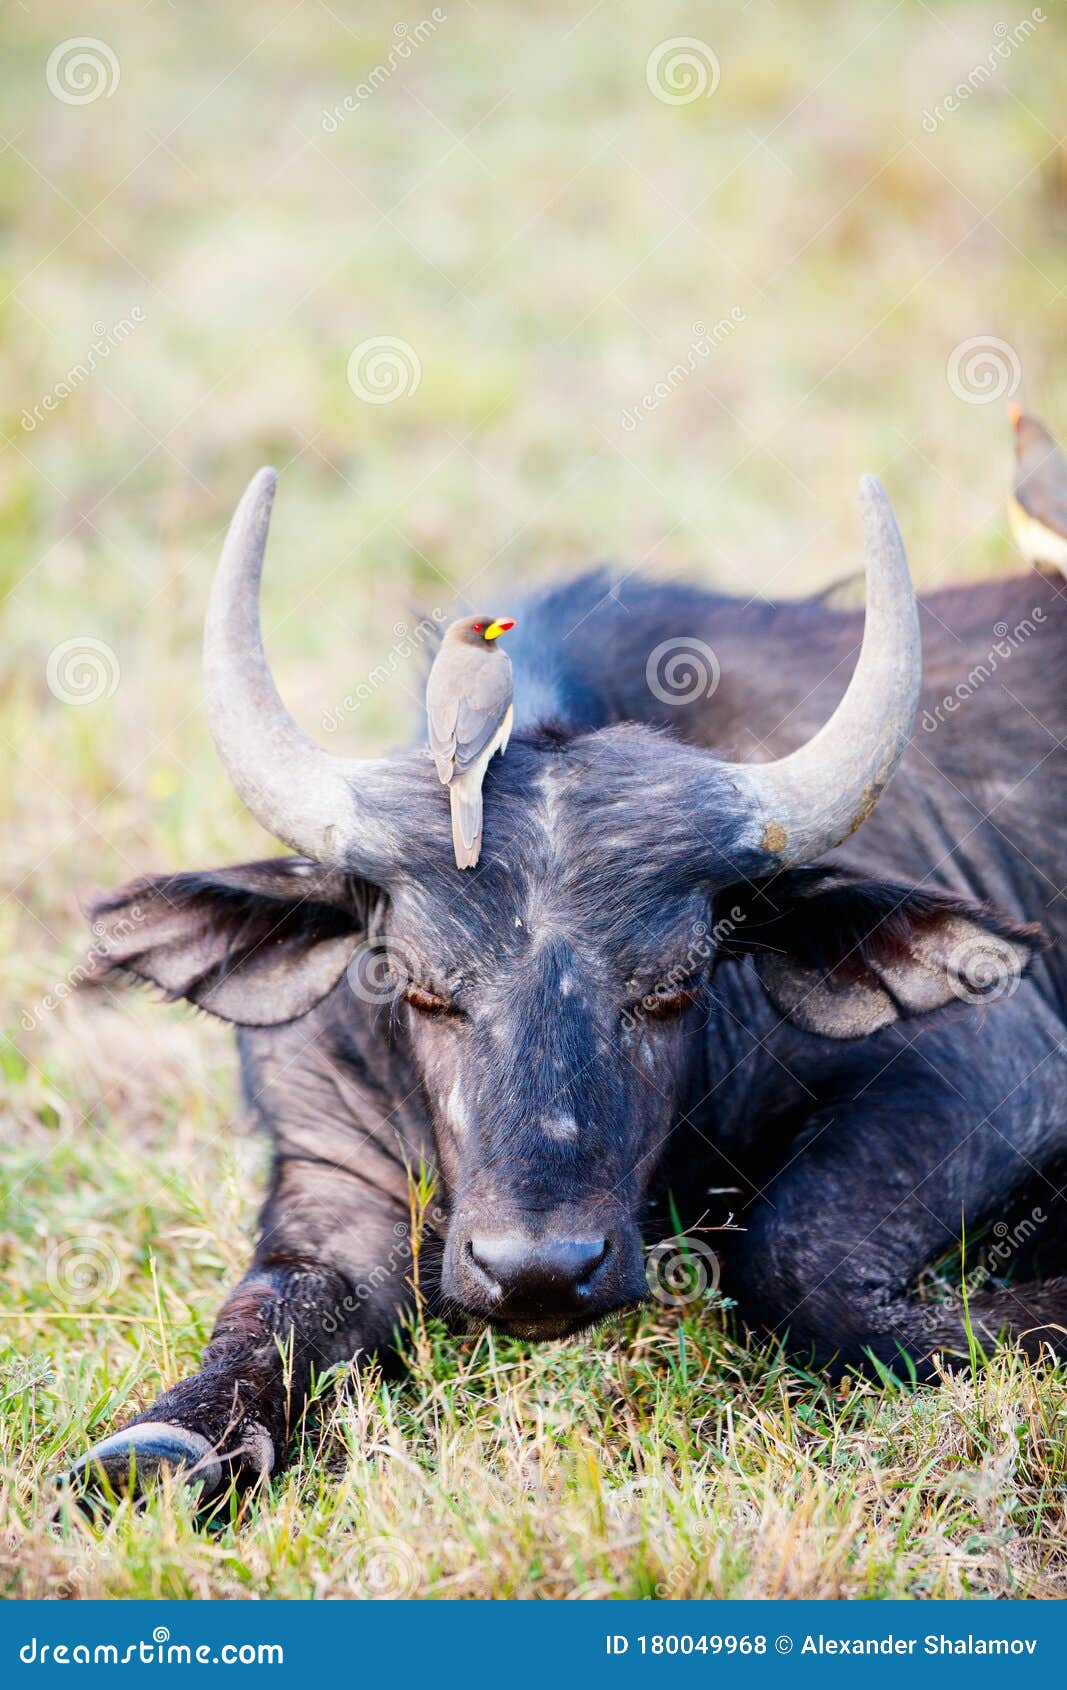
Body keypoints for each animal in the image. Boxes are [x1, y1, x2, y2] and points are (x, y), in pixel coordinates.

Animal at [67, 467, 1066, 1497]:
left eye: (673, 985)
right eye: (417, 986)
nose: (538, 1271)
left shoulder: (987, 1074)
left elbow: (799, 1268)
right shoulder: (331, 1161)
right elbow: (276, 1303)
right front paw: (159, 1446)